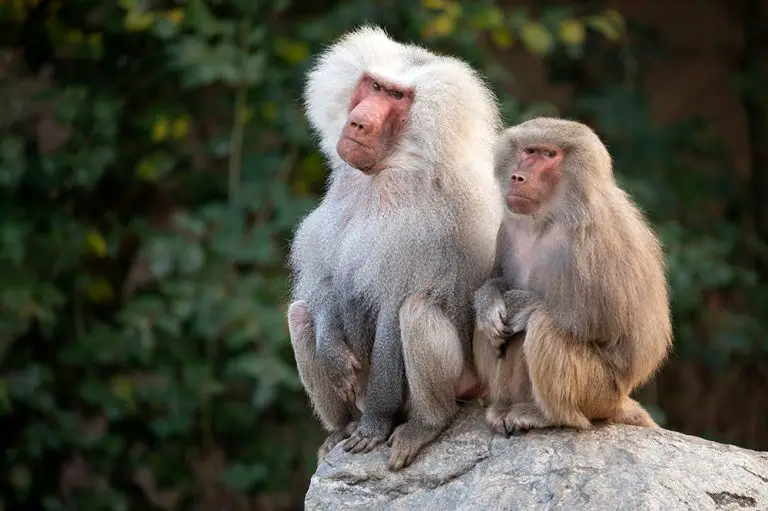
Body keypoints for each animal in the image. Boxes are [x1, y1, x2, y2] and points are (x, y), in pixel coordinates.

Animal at [286, 26, 504, 470]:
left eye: (397, 97)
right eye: (373, 85)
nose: (357, 123)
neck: (386, 172)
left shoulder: (418, 233)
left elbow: (394, 304)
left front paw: (374, 428)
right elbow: (327, 284)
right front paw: (332, 353)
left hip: (460, 383)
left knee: (416, 311)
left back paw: (422, 425)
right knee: (299, 315)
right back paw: (340, 430)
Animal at [472, 117, 673, 437]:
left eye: (548, 155)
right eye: (529, 150)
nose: (518, 177)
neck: (549, 218)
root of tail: (619, 399)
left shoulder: (591, 241)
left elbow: (598, 321)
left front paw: (521, 304)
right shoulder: (508, 228)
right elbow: (496, 285)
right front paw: (489, 300)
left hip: (598, 392)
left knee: (544, 326)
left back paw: (549, 417)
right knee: (484, 328)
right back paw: (502, 408)